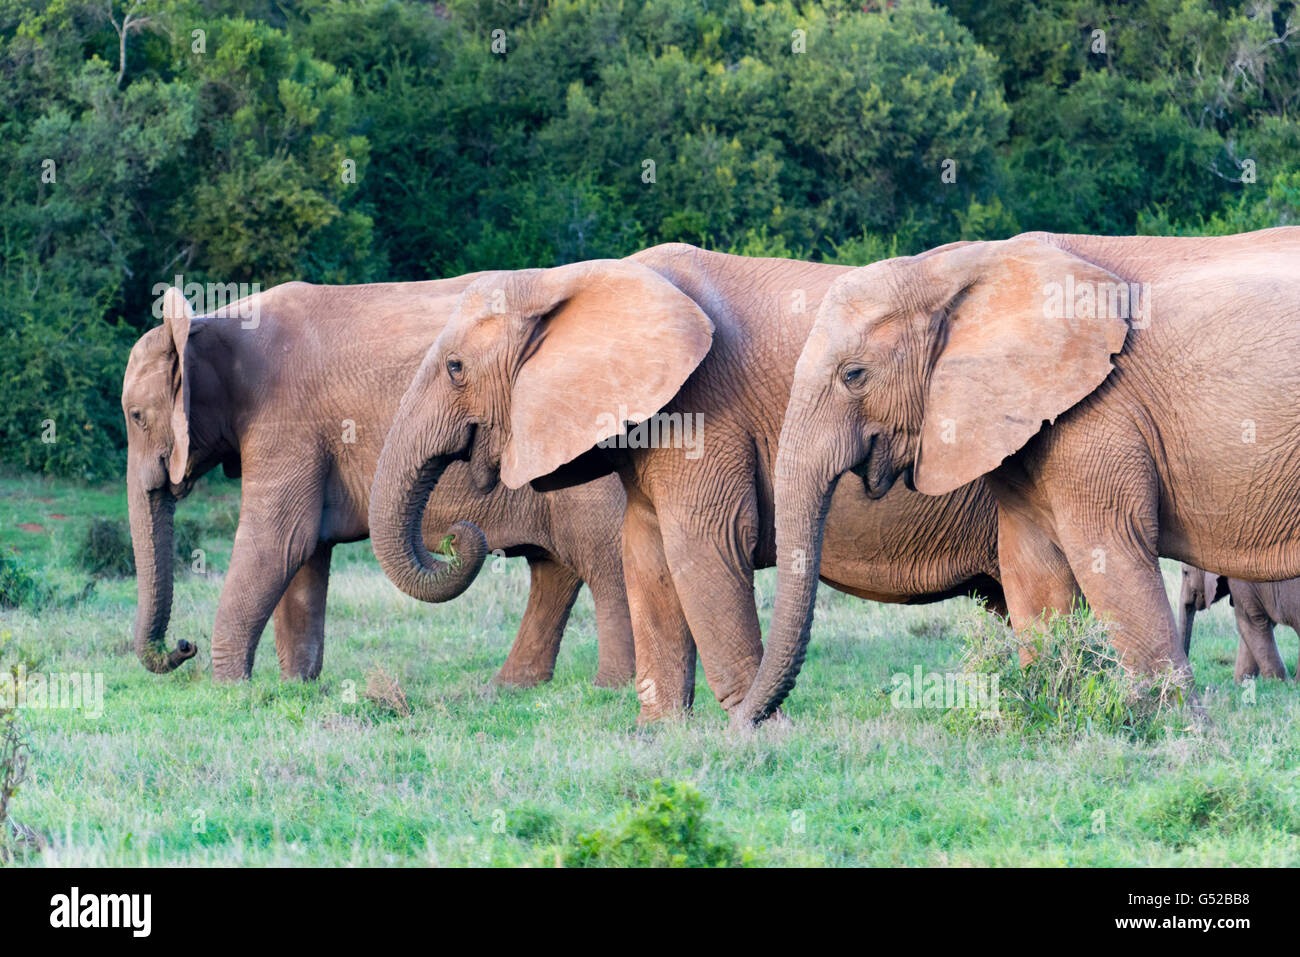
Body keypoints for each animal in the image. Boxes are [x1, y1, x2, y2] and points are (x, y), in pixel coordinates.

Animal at [120, 279, 634, 685]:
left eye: (137, 416)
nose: (183, 645)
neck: (210, 325)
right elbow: (304, 554)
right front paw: (295, 686)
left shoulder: (287, 423)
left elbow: (278, 541)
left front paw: (230, 690)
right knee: (555, 568)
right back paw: (509, 689)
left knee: (604, 560)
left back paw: (612, 687)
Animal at [368, 243, 1003, 725]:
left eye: (454, 368)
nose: (459, 536)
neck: (569, 280)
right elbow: (646, 553)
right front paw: (660, 729)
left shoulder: (703, 409)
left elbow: (707, 544)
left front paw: (755, 729)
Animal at [736, 227, 1300, 726]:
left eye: (854, 375)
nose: (743, 724)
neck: (955, 269)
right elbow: (1034, 568)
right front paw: (1048, 712)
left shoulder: (1099, 410)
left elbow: (1109, 553)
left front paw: (1181, 732)